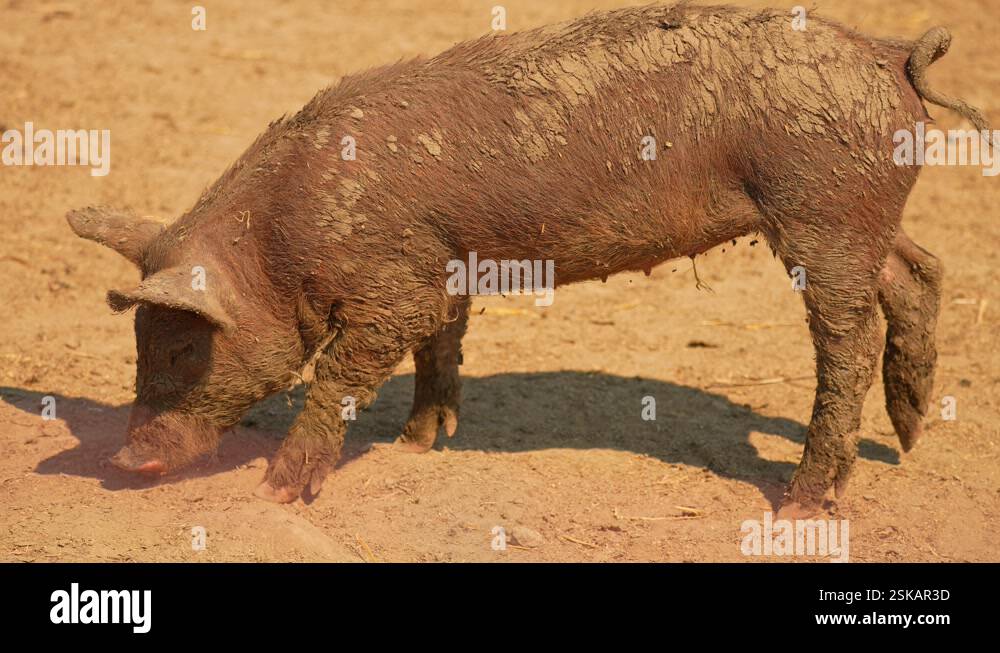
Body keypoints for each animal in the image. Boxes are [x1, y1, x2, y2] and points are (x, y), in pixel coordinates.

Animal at [68, 4, 990, 516]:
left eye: (182, 346)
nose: (124, 461)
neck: (281, 237)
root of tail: (891, 55)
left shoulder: (392, 286)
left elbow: (343, 370)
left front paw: (273, 492)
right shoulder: (441, 262)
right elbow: (440, 342)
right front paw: (419, 443)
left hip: (820, 213)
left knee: (848, 343)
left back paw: (805, 503)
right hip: (861, 217)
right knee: (919, 272)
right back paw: (910, 434)